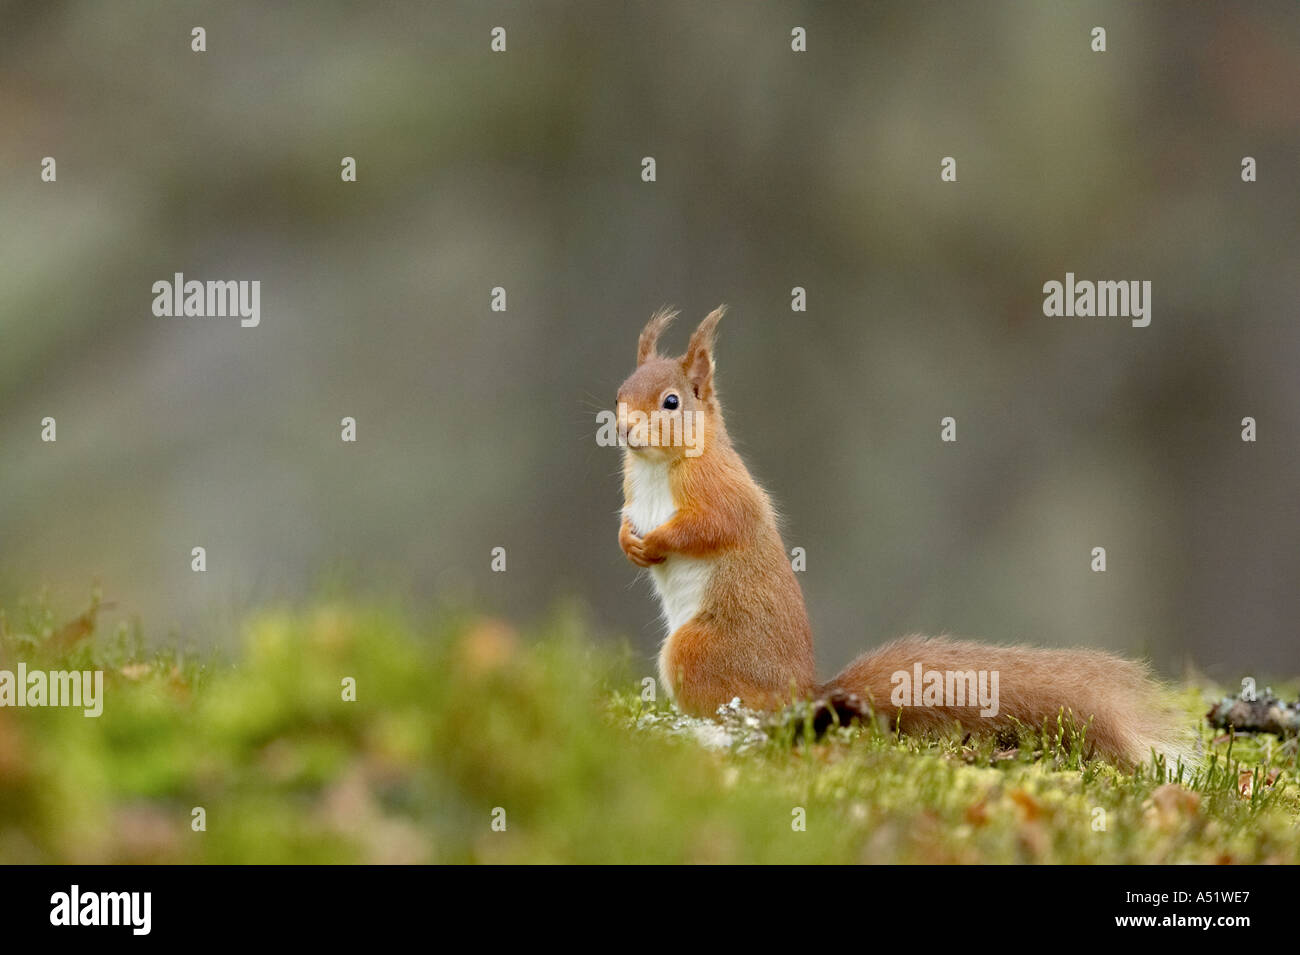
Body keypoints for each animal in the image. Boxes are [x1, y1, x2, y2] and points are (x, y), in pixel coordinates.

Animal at [615, 305, 1188, 768]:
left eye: (671, 402)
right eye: (619, 394)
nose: (621, 429)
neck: (658, 467)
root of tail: (805, 697)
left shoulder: (721, 492)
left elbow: (712, 526)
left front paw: (656, 543)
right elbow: (626, 520)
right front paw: (629, 542)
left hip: (698, 652)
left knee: (750, 723)